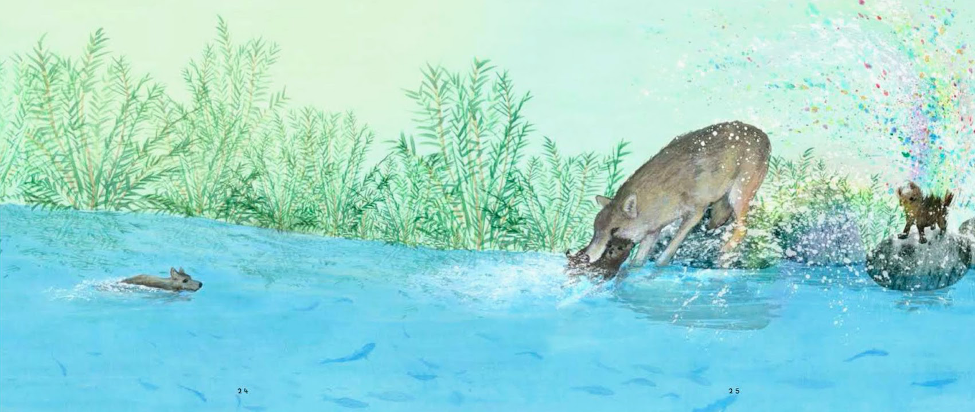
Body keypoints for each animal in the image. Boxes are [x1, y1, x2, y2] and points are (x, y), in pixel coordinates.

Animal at [568, 121, 771, 268]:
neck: (661, 193)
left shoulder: (695, 213)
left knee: (743, 228)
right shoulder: (653, 231)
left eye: (614, 231)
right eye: (596, 230)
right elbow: (637, 261)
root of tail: (762, 133)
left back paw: (724, 251)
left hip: (737, 196)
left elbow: (668, 251)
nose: (585, 257)